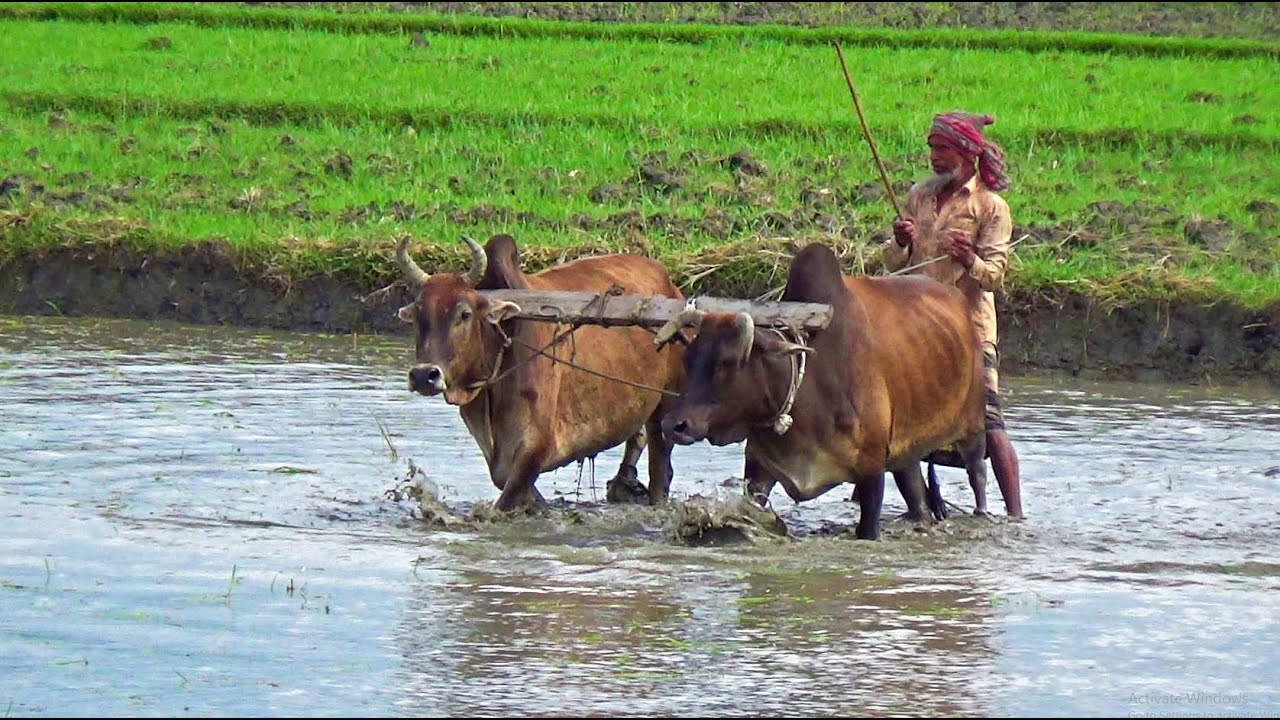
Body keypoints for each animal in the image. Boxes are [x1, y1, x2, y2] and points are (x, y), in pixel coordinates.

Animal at [393, 233, 686, 513]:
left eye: (464, 314)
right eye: (418, 314)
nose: (424, 376)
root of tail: (670, 285)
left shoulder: (538, 445)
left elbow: (507, 499)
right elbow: (507, 482)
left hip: (666, 405)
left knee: (660, 471)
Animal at [654, 243, 989, 541]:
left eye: (727, 362)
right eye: (687, 358)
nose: (674, 424)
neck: (806, 398)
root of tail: (957, 297)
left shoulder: (871, 473)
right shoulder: (759, 470)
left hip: (973, 427)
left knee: (978, 475)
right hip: (904, 448)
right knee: (916, 492)